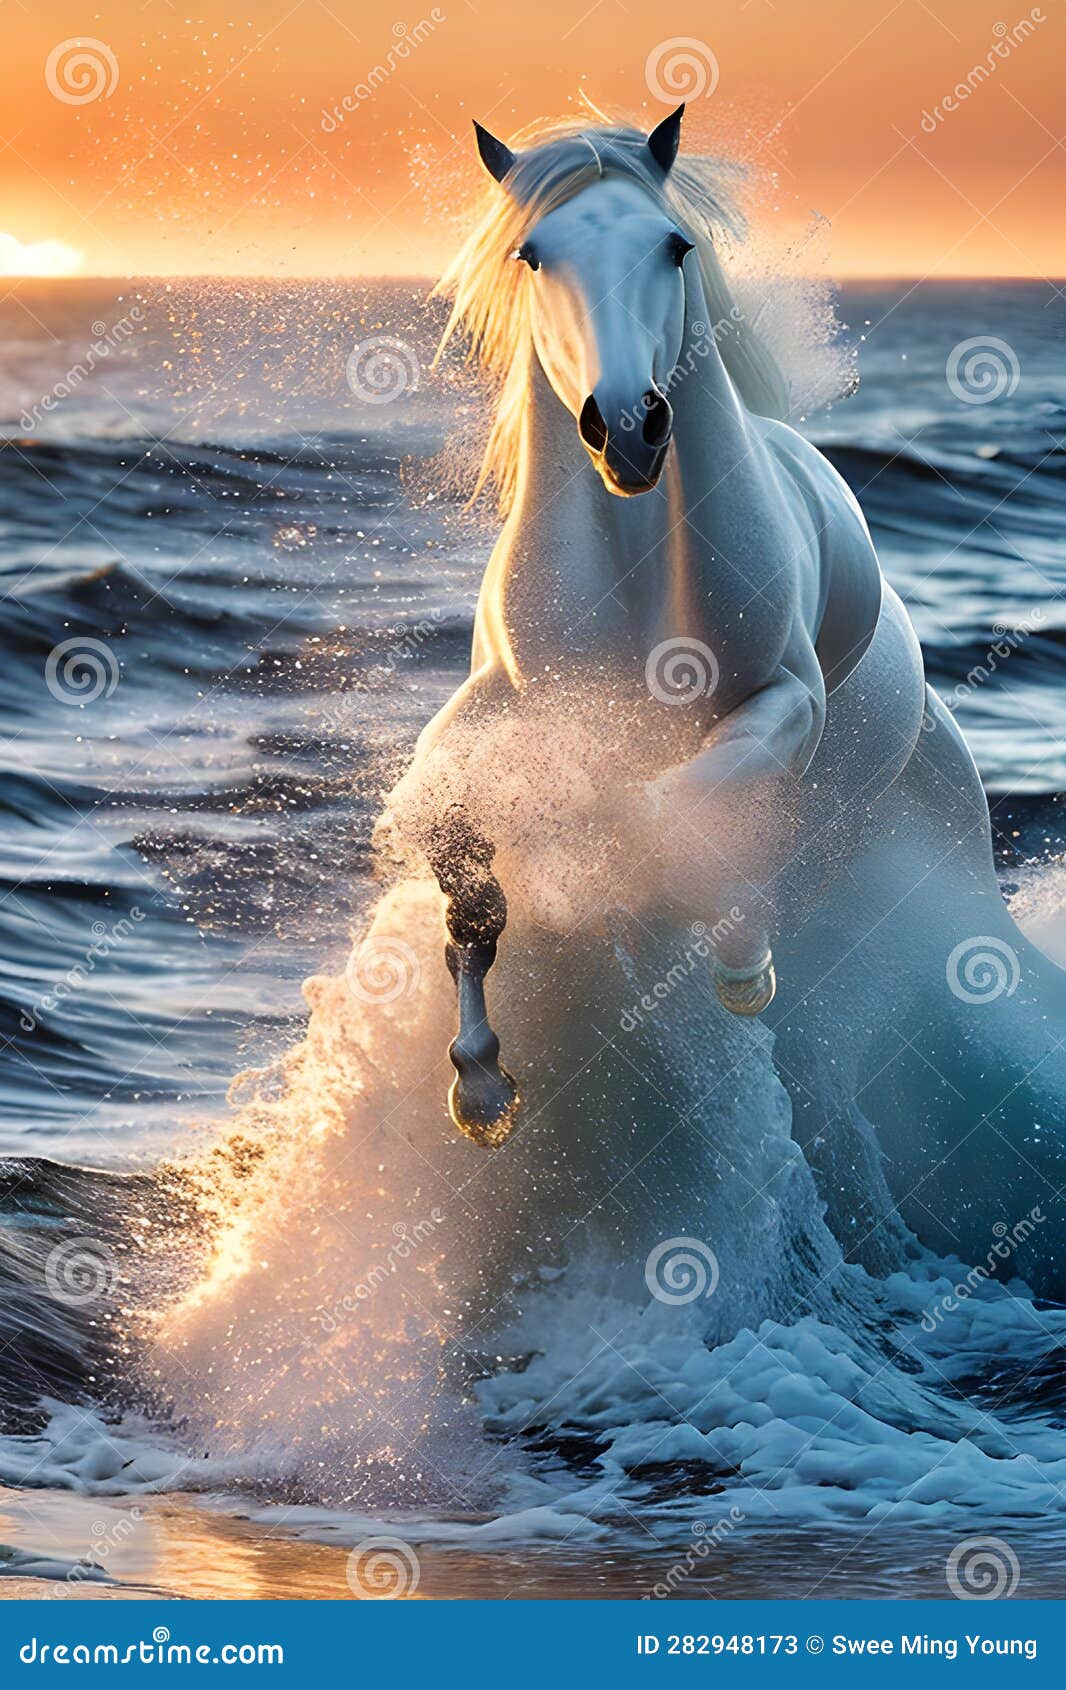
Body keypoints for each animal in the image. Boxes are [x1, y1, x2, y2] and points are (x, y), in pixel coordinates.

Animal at [385, 106, 1066, 1294]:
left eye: (673, 246)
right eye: (532, 255)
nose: (627, 430)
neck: (631, 563)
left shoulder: (780, 706)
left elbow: (666, 814)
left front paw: (732, 959)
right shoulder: (492, 728)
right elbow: (464, 872)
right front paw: (480, 1091)